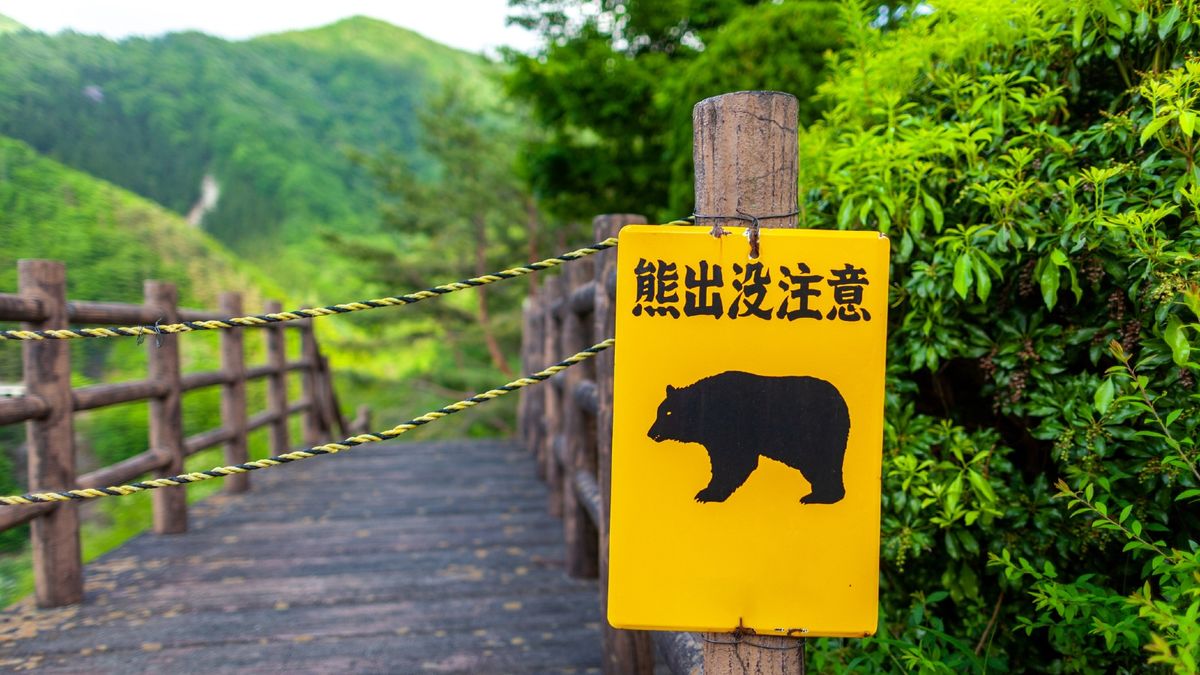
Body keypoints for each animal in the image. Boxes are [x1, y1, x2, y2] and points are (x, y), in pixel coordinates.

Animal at [647, 371, 850, 504]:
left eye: (668, 412)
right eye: (659, 411)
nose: (650, 433)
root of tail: (842, 400)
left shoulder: (733, 428)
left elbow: (734, 461)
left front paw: (707, 494)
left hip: (816, 435)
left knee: (823, 464)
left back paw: (819, 497)